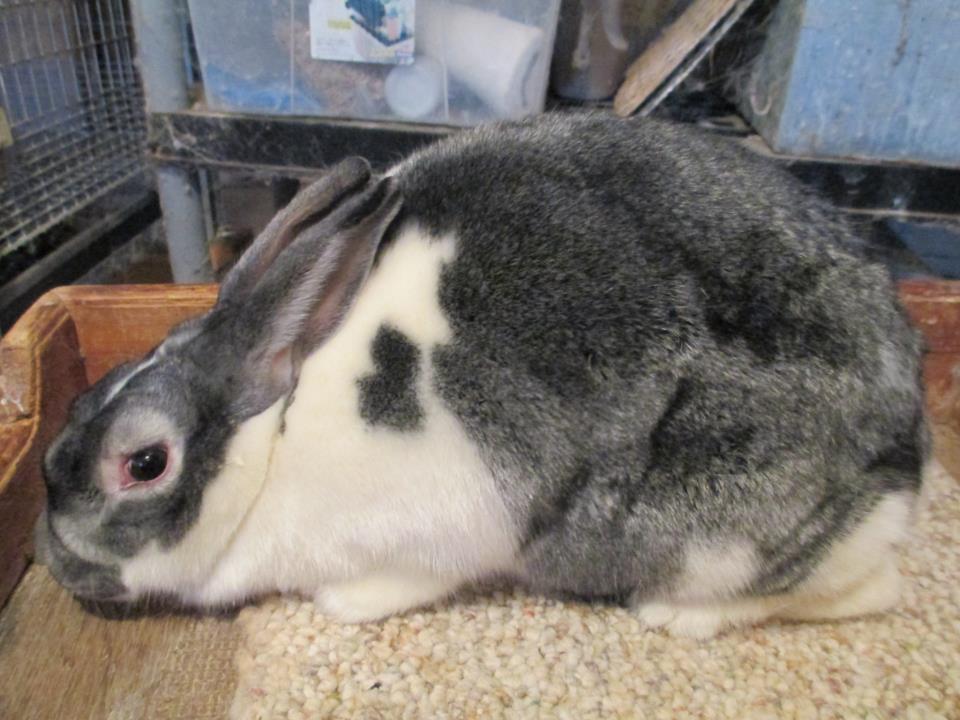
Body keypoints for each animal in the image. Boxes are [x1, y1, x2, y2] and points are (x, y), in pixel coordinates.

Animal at [36, 113, 928, 638]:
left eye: (143, 463)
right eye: (67, 420)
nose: (56, 562)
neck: (272, 442)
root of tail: (907, 465)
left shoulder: (429, 530)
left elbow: (402, 581)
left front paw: (341, 605)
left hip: (726, 538)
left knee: (864, 590)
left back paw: (674, 615)